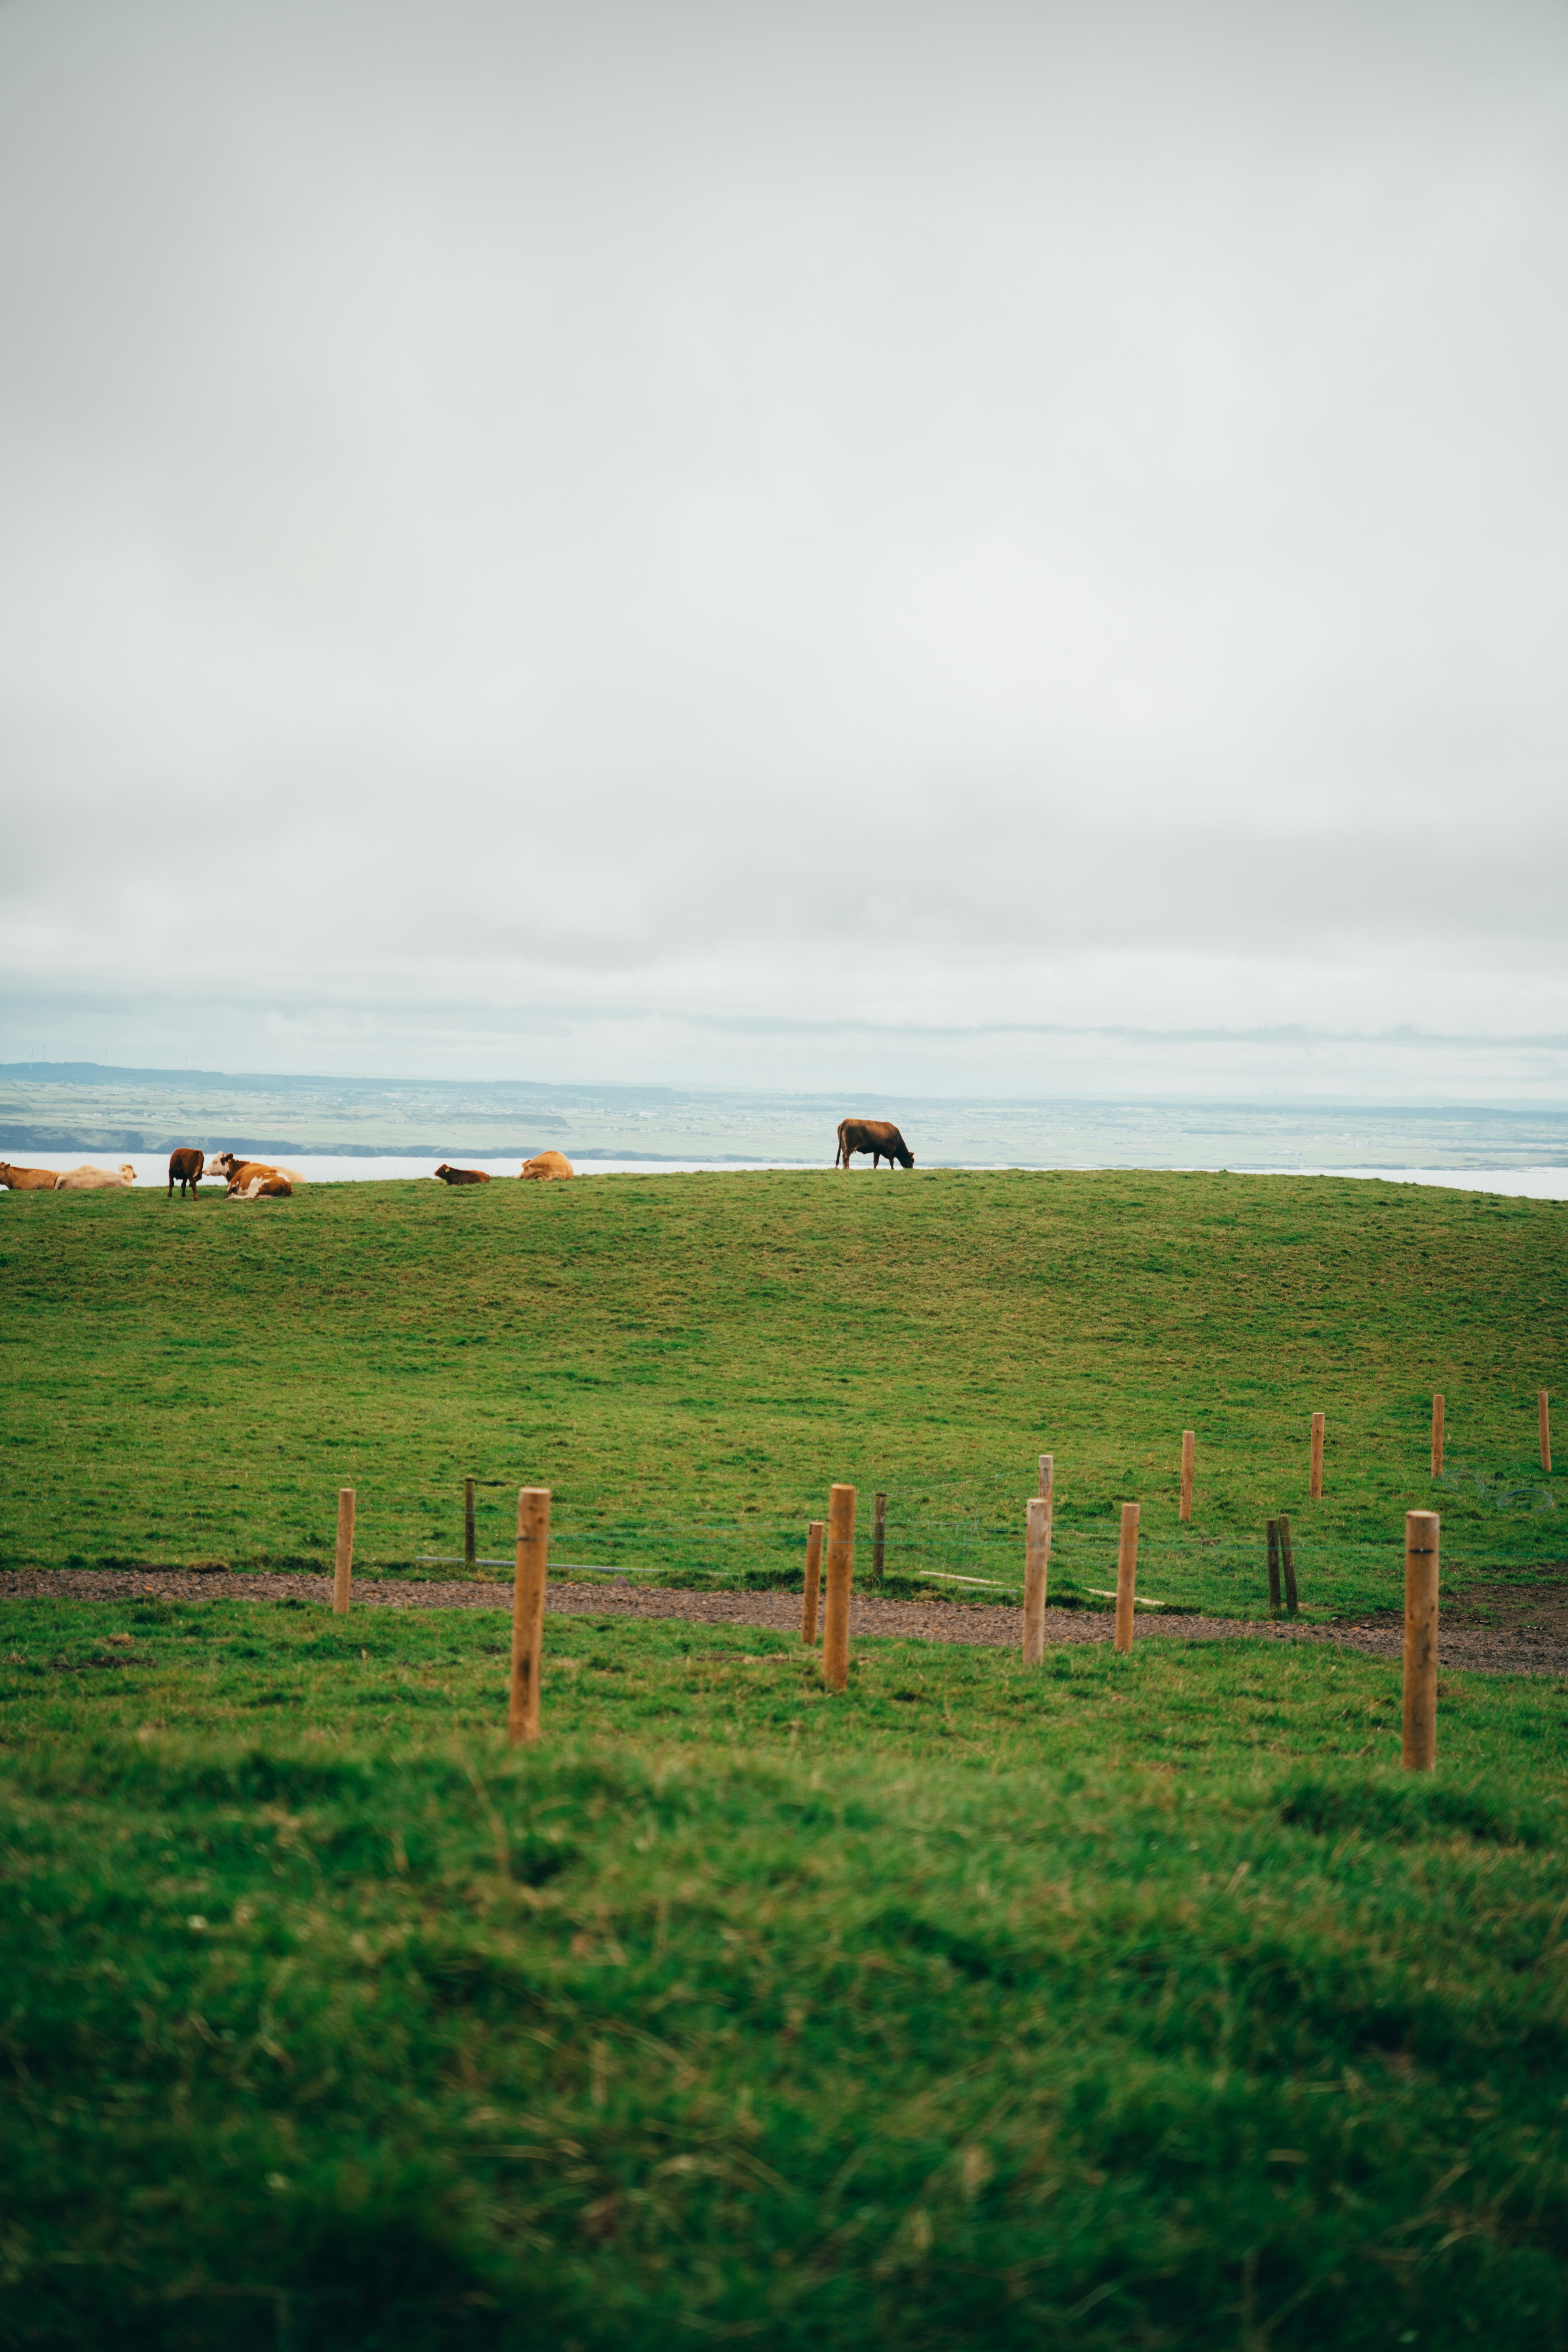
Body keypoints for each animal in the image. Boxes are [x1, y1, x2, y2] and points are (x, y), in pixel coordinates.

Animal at [167, 1148, 204, 1199]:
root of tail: (197, 1151)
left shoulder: (171, 1172)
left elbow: (171, 1184)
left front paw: (169, 1195)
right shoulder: (185, 1176)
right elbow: (183, 1185)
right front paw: (183, 1195)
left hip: (190, 1173)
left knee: (193, 1182)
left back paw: (196, 1198)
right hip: (199, 1172)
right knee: (198, 1179)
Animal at [835, 1120, 914, 1170]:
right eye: (912, 1160)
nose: (911, 1169)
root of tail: (847, 1121)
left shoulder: (877, 1151)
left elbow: (876, 1162)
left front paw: (874, 1169)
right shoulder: (891, 1150)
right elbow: (892, 1161)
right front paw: (893, 1169)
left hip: (844, 1147)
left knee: (847, 1157)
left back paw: (847, 1168)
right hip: (850, 1147)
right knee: (846, 1156)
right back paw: (846, 1168)